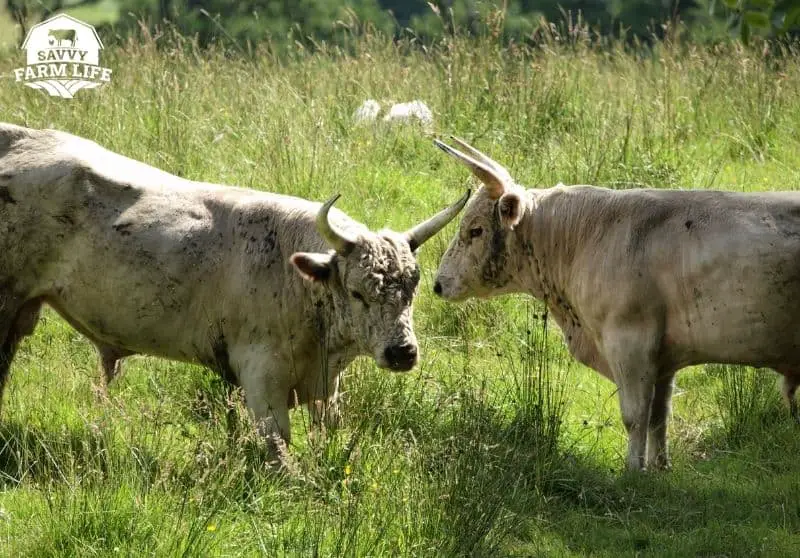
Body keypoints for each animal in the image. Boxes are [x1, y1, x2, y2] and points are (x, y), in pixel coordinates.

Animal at [0, 122, 470, 469]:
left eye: (413, 289)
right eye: (356, 292)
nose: (402, 352)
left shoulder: (326, 387)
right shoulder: (261, 376)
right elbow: (281, 452)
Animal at [432, 136, 800, 472]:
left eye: (476, 230)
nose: (438, 284)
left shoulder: (630, 344)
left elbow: (635, 417)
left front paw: (633, 472)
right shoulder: (663, 357)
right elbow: (658, 417)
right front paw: (659, 468)